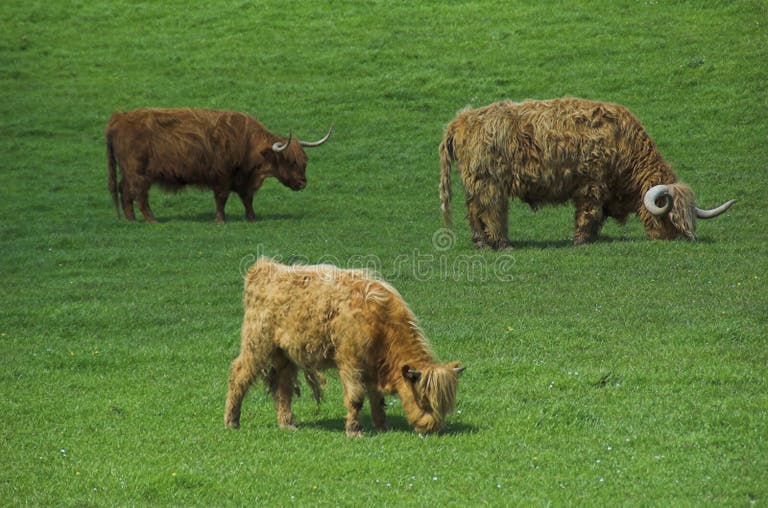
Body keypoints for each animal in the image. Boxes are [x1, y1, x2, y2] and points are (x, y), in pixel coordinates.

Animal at [106, 108, 332, 223]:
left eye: (305, 161)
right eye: (290, 161)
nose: (302, 183)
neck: (246, 142)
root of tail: (118, 118)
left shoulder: (243, 179)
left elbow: (247, 198)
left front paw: (252, 217)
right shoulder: (222, 176)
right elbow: (221, 198)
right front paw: (221, 220)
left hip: (128, 171)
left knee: (125, 191)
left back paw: (131, 219)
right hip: (138, 172)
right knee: (139, 194)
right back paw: (152, 220)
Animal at [224, 258, 465, 437]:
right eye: (424, 401)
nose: (432, 428)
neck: (380, 322)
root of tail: (265, 268)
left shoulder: (371, 367)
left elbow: (377, 398)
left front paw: (382, 426)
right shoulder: (350, 362)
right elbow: (356, 398)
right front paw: (354, 430)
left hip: (284, 354)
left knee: (283, 387)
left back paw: (287, 423)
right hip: (257, 344)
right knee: (240, 374)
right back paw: (232, 421)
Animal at [439, 97, 736, 248]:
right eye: (670, 217)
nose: (676, 241)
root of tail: (461, 120)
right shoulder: (591, 184)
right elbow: (588, 214)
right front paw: (581, 241)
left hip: (475, 184)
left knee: (474, 212)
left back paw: (481, 243)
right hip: (490, 183)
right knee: (492, 212)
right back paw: (502, 244)